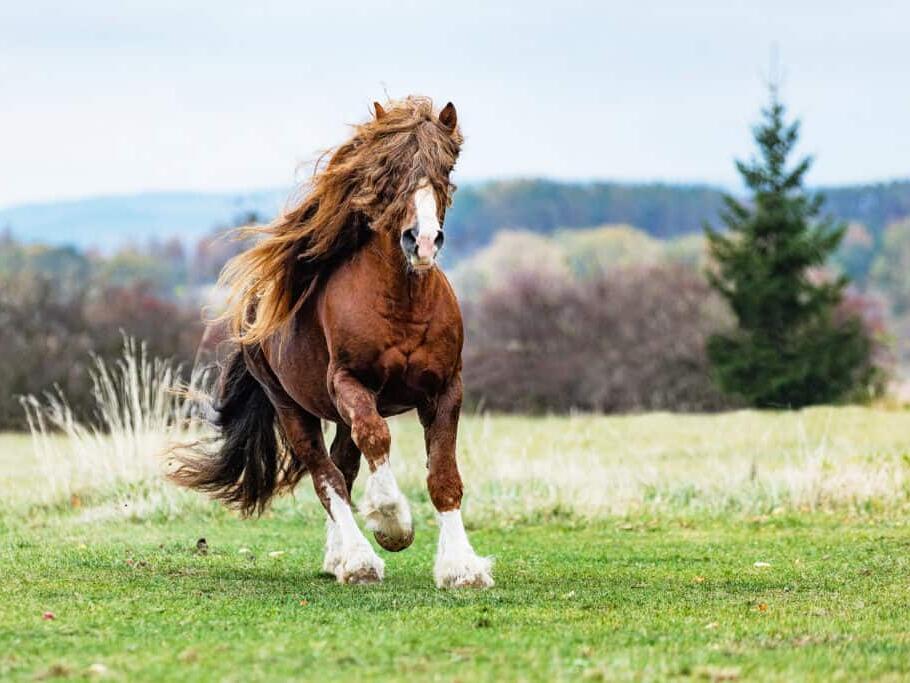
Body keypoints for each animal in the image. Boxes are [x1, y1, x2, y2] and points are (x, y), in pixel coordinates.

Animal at [172, 96, 493, 588]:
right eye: (388, 169)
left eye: (446, 166)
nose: (421, 242)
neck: (402, 303)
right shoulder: (350, 383)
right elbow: (376, 440)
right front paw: (392, 524)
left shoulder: (445, 390)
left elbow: (443, 475)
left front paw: (462, 567)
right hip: (292, 407)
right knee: (327, 477)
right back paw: (358, 561)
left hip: (338, 412)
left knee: (343, 465)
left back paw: (338, 556)